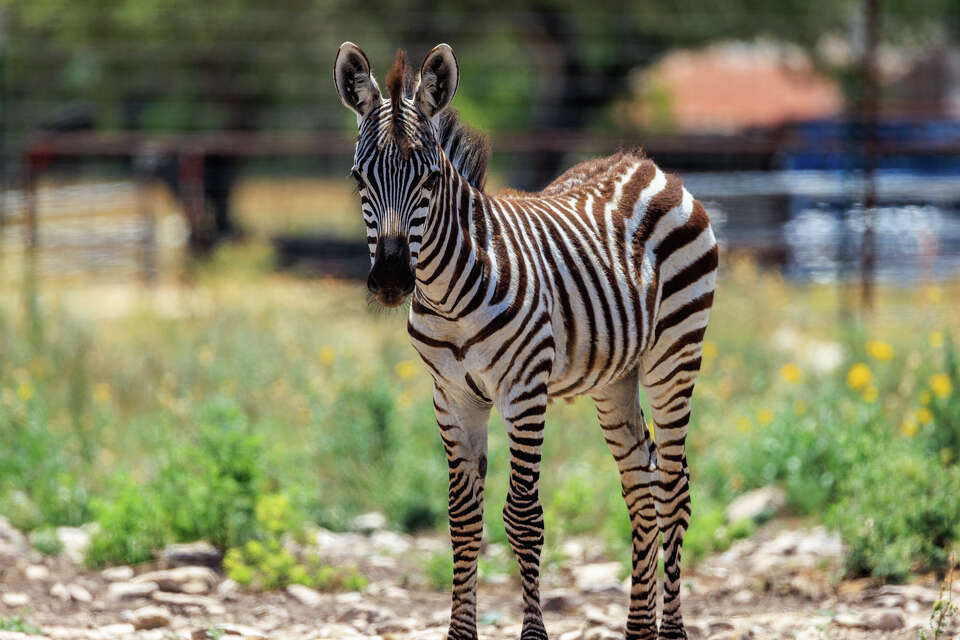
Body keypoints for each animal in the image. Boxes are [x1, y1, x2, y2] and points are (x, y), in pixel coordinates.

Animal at [334, 42, 718, 640]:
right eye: (358, 179)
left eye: (430, 179)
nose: (393, 281)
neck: (449, 297)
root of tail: (645, 165)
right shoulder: (452, 396)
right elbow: (462, 518)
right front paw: (459, 634)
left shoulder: (524, 390)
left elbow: (523, 516)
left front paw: (533, 634)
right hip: (615, 379)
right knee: (641, 488)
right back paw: (637, 628)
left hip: (674, 354)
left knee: (673, 489)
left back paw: (671, 631)